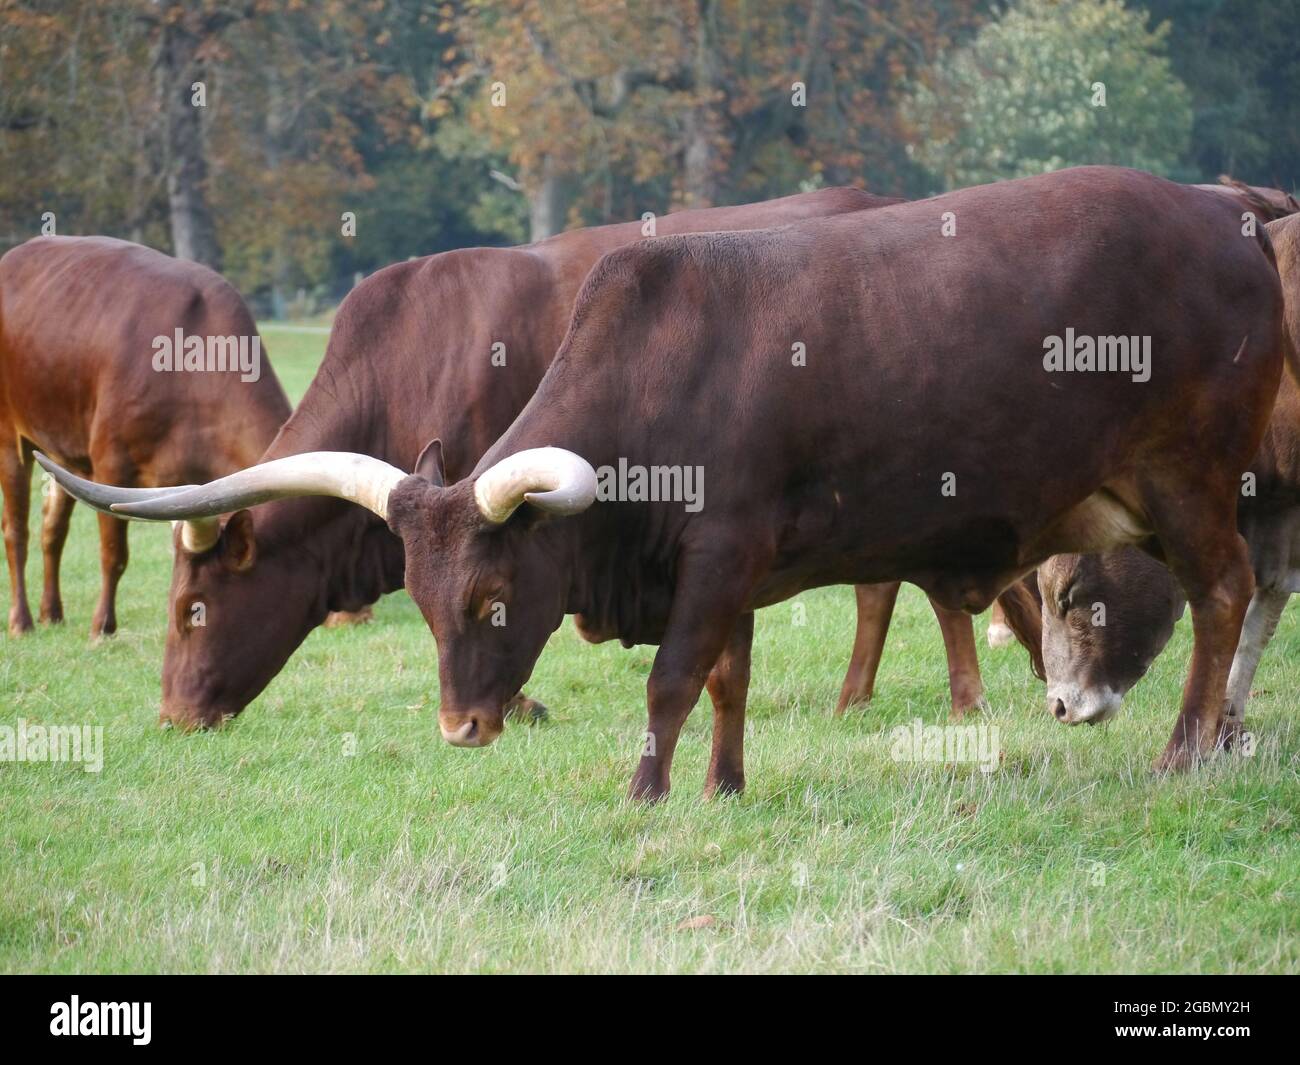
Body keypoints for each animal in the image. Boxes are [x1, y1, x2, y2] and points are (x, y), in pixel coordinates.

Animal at [0, 236, 293, 637]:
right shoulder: (111, 466)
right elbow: (114, 554)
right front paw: (102, 628)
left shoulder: (185, 491)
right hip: (10, 436)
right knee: (16, 531)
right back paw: (21, 620)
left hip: (61, 450)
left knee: (52, 529)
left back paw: (52, 612)